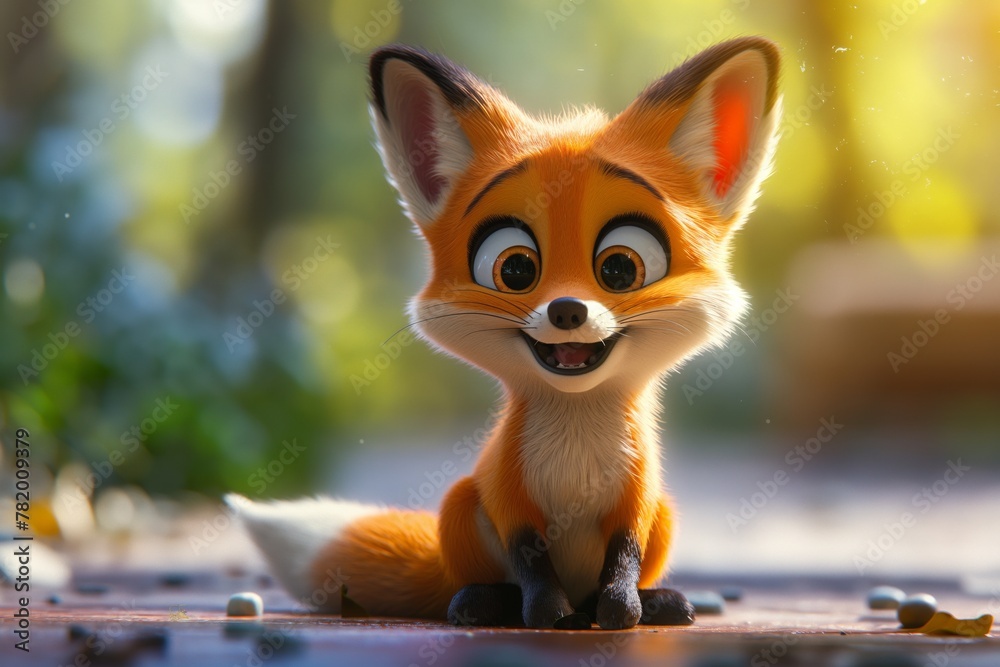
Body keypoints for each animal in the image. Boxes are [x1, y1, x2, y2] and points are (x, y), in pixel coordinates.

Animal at [227, 36, 781, 630]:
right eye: (515, 268)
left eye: (620, 269)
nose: (567, 310)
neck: (576, 440)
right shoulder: (507, 495)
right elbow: (531, 562)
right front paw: (545, 613)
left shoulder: (637, 500)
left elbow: (624, 559)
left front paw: (622, 610)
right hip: (461, 504)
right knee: (477, 584)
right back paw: (488, 603)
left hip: (666, 513)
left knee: (605, 582)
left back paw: (651, 603)